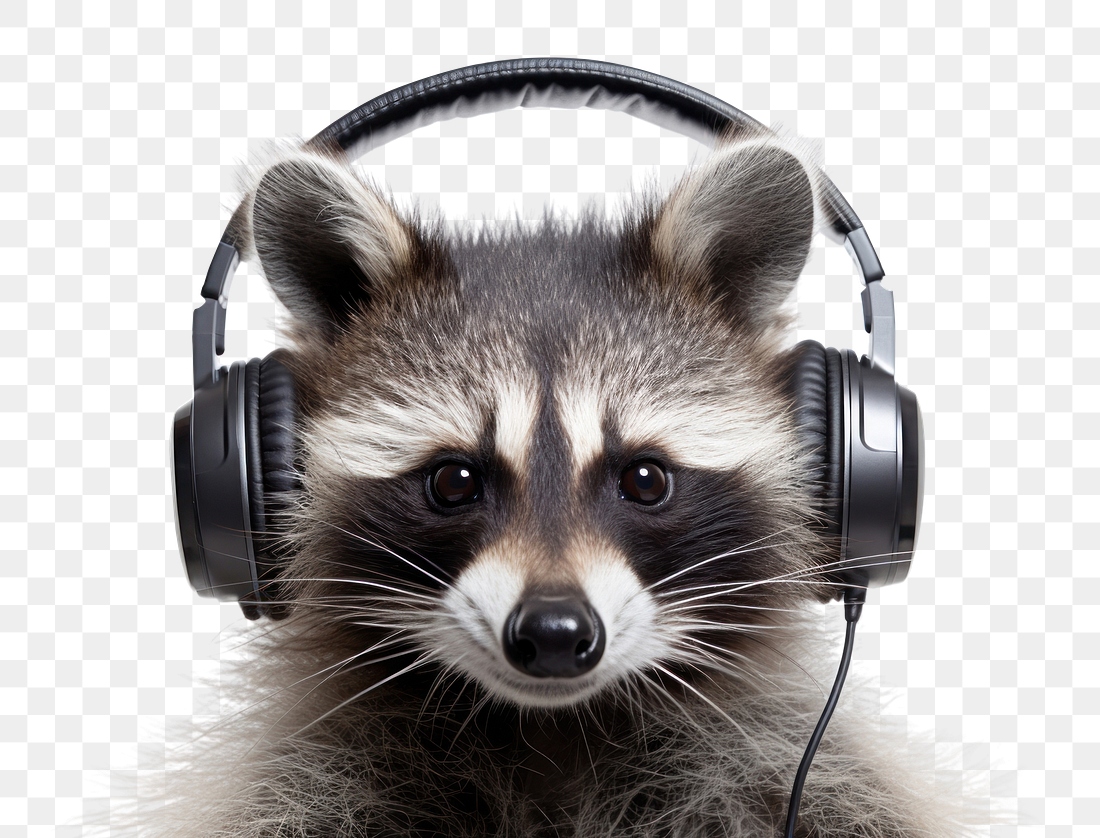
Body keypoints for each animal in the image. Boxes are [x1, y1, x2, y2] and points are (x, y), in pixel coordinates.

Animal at [150, 136, 971, 837]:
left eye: (644, 478)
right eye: (454, 480)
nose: (553, 634)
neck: (553, 732)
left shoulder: (798, 774)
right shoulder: (309, 781)